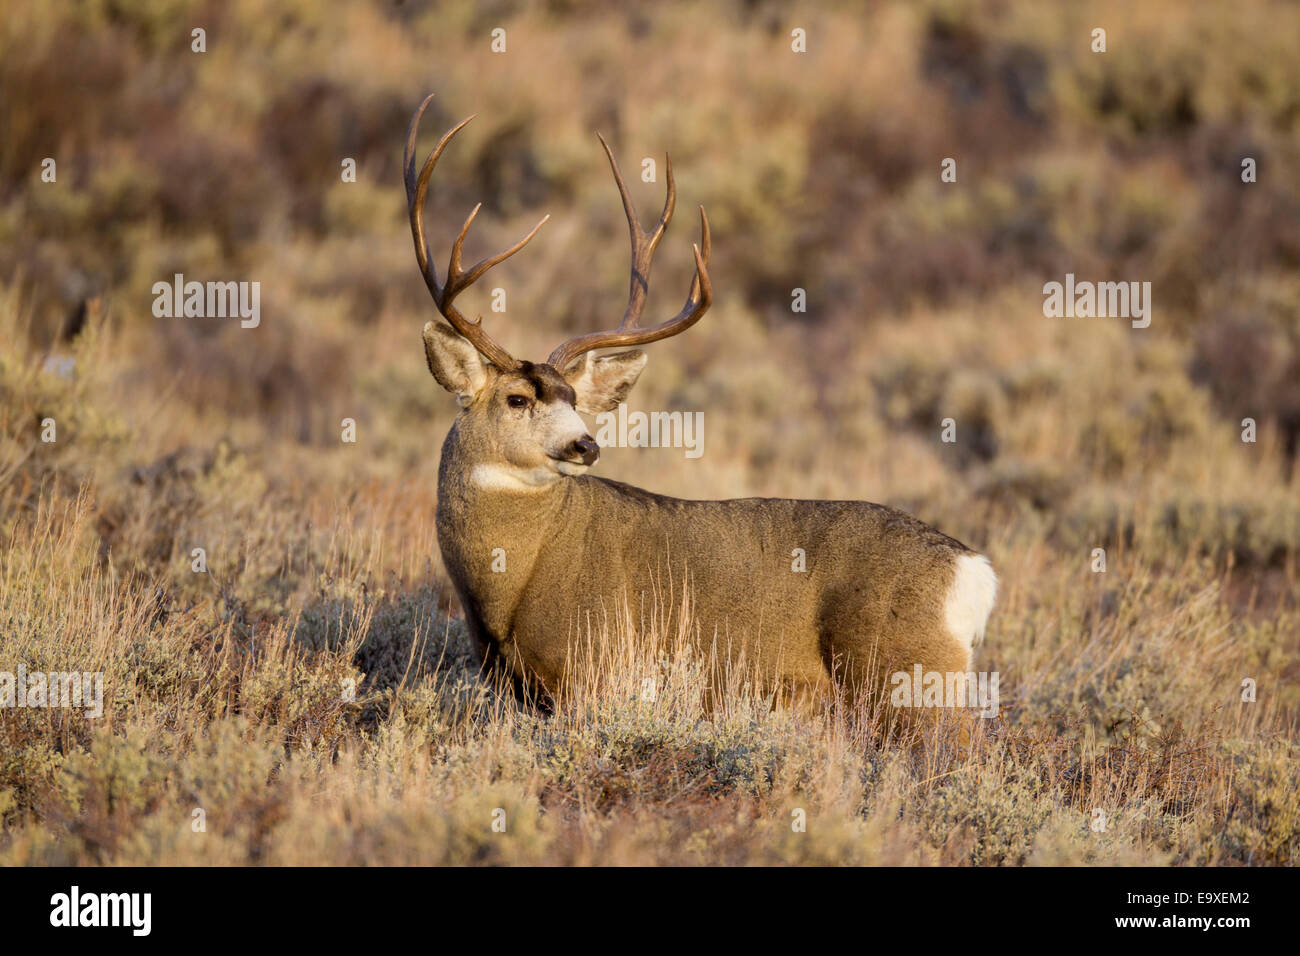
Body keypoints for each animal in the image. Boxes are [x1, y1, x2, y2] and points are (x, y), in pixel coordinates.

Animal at [404, 93, 997, 715]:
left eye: (574, 400)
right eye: (518, 398)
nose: (584, 444)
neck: (506, 586)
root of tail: (973, 573)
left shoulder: (593, 669)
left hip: (906, 673)